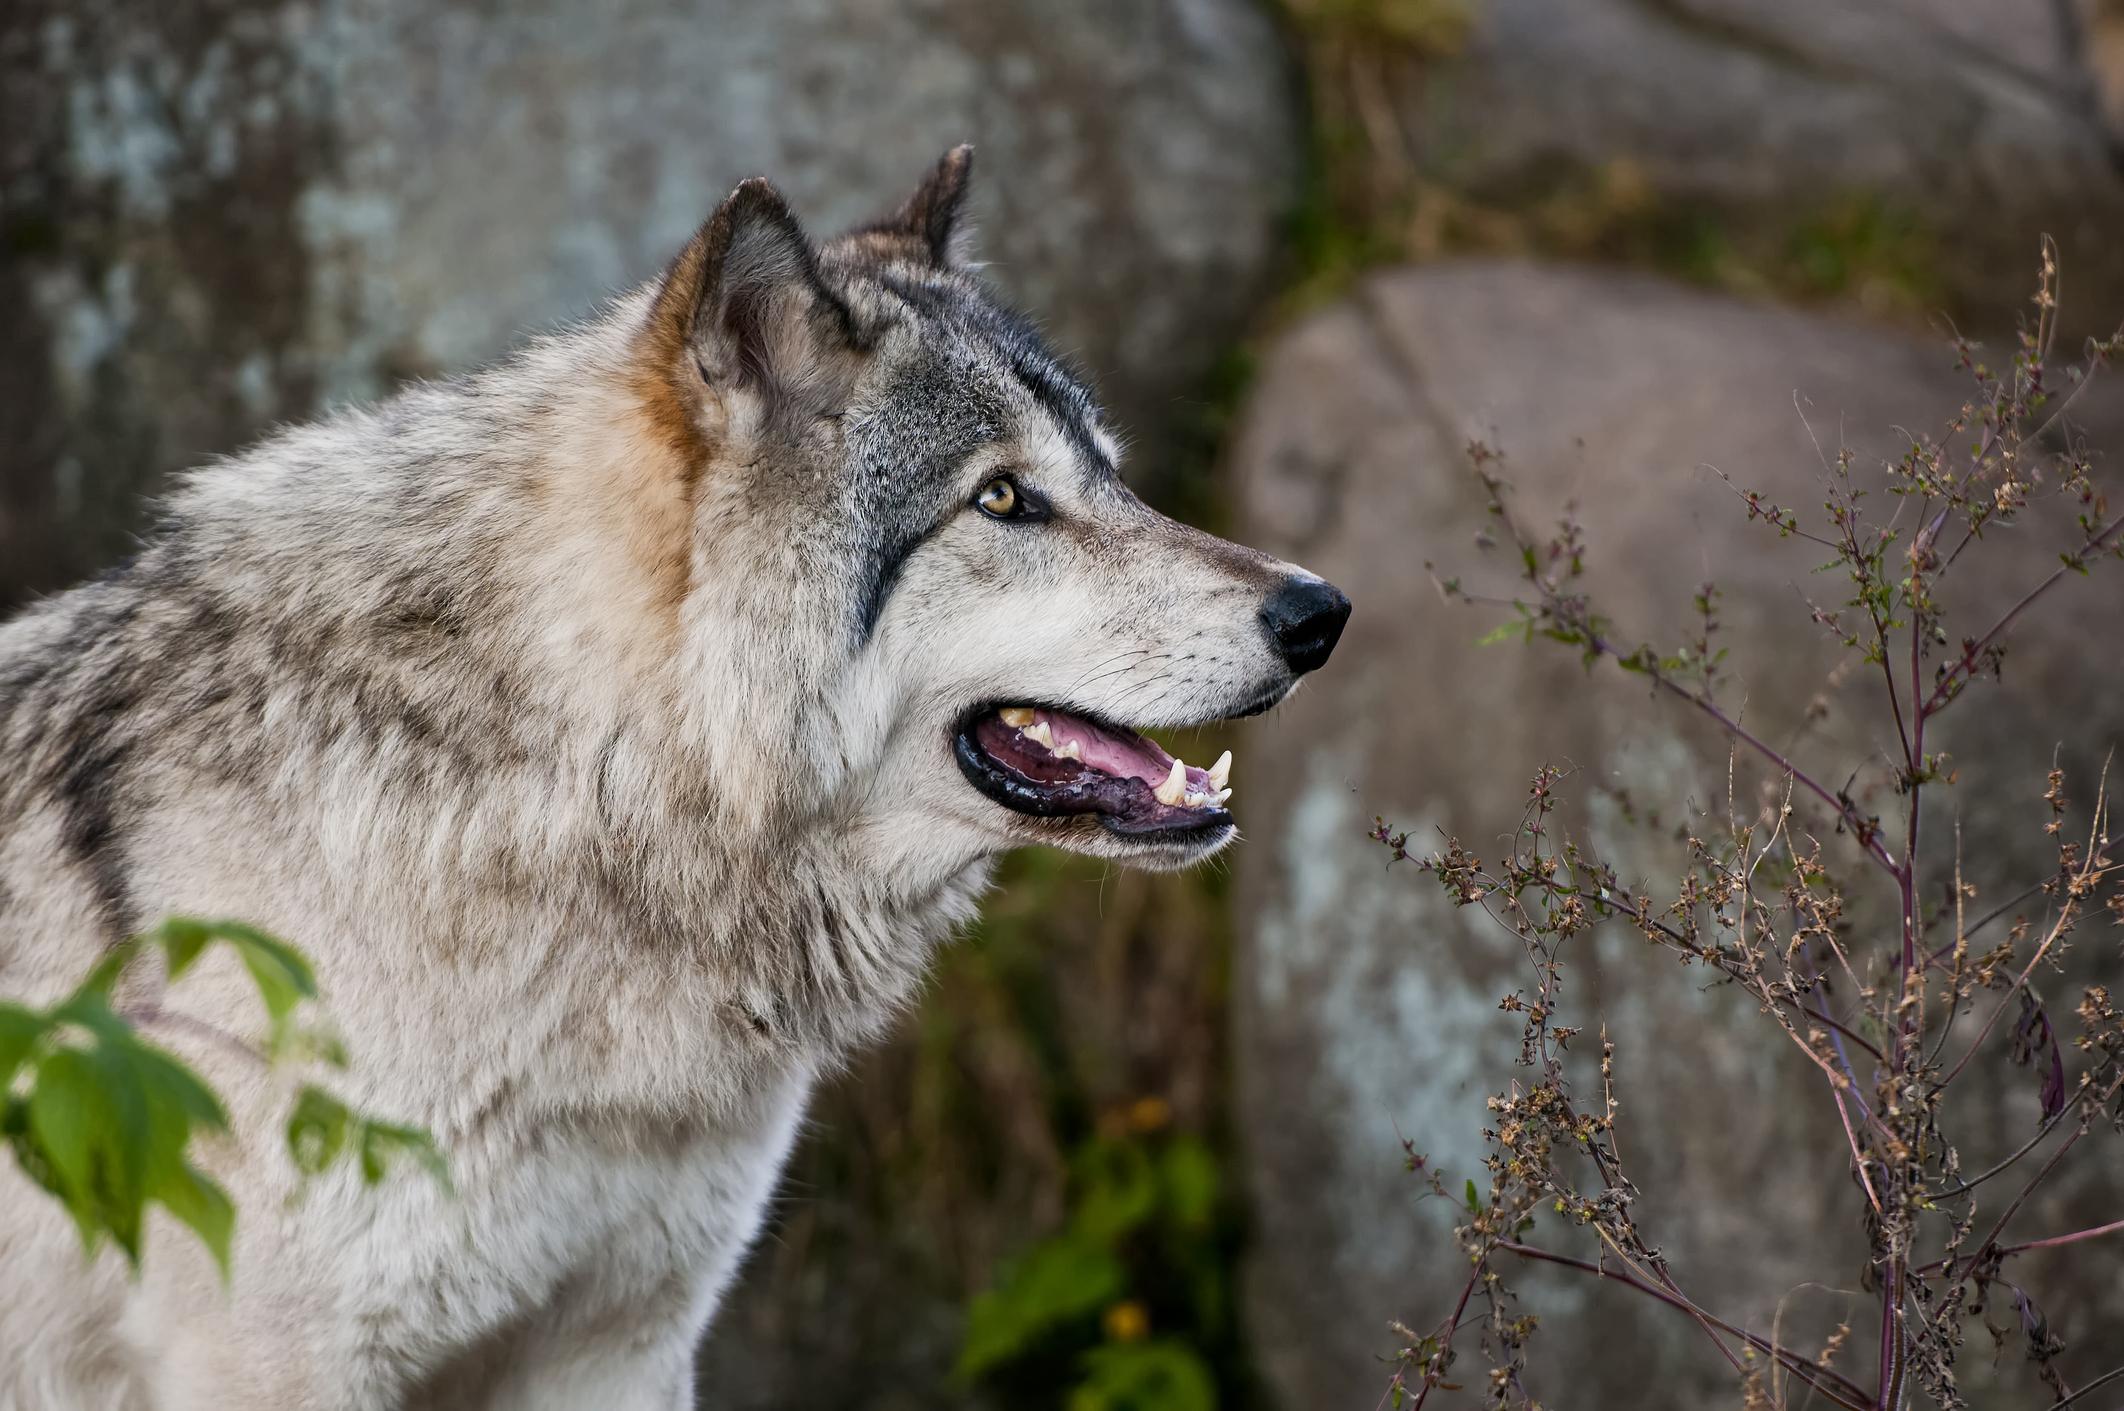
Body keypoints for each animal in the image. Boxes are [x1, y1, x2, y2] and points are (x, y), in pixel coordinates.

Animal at [0, 147, 1349, 1408]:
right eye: (1006, 497)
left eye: (1113, 475)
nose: (1319, 612)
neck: (573, 796)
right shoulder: (273, 1363)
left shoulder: (624, 1342)